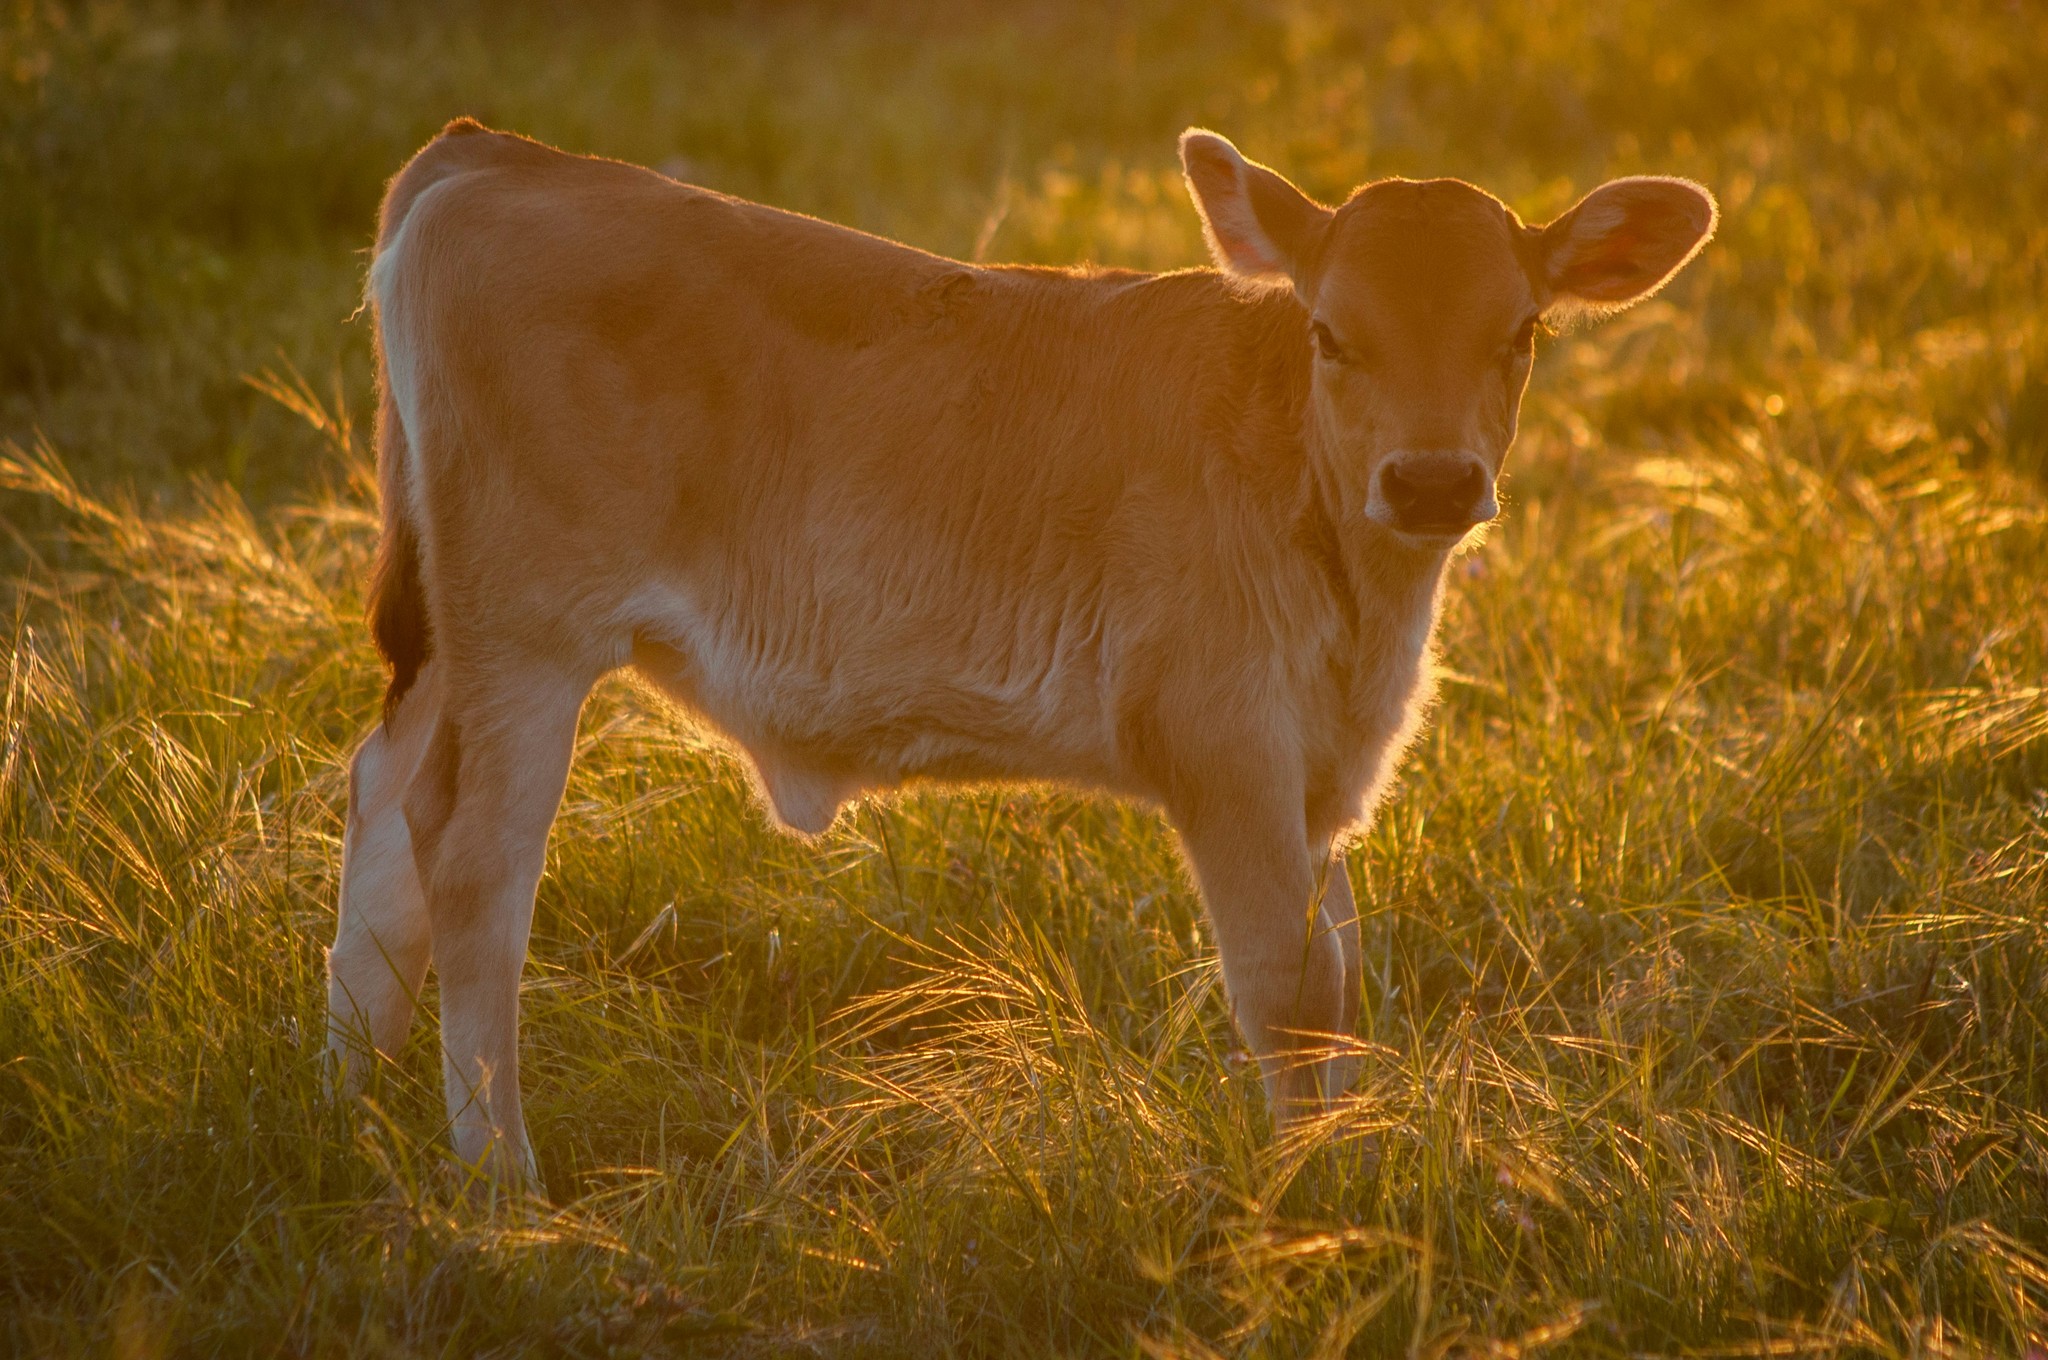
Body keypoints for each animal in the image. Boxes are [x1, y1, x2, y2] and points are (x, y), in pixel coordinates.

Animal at [326, 118, 1715, 1186]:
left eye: (1520, 330)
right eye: (1330, 333)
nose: (1430, 480)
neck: (1355, 600)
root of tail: (501, 156)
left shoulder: (1319, 773)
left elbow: (1340, 981)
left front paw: (1348, 1167)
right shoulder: (1220, 742)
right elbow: (1285, 985)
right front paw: (1308, 1209)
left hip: (451, 642)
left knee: (384, 805)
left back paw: (347, 1099)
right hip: (525, 634)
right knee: (472, 864)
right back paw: (501, 1177)